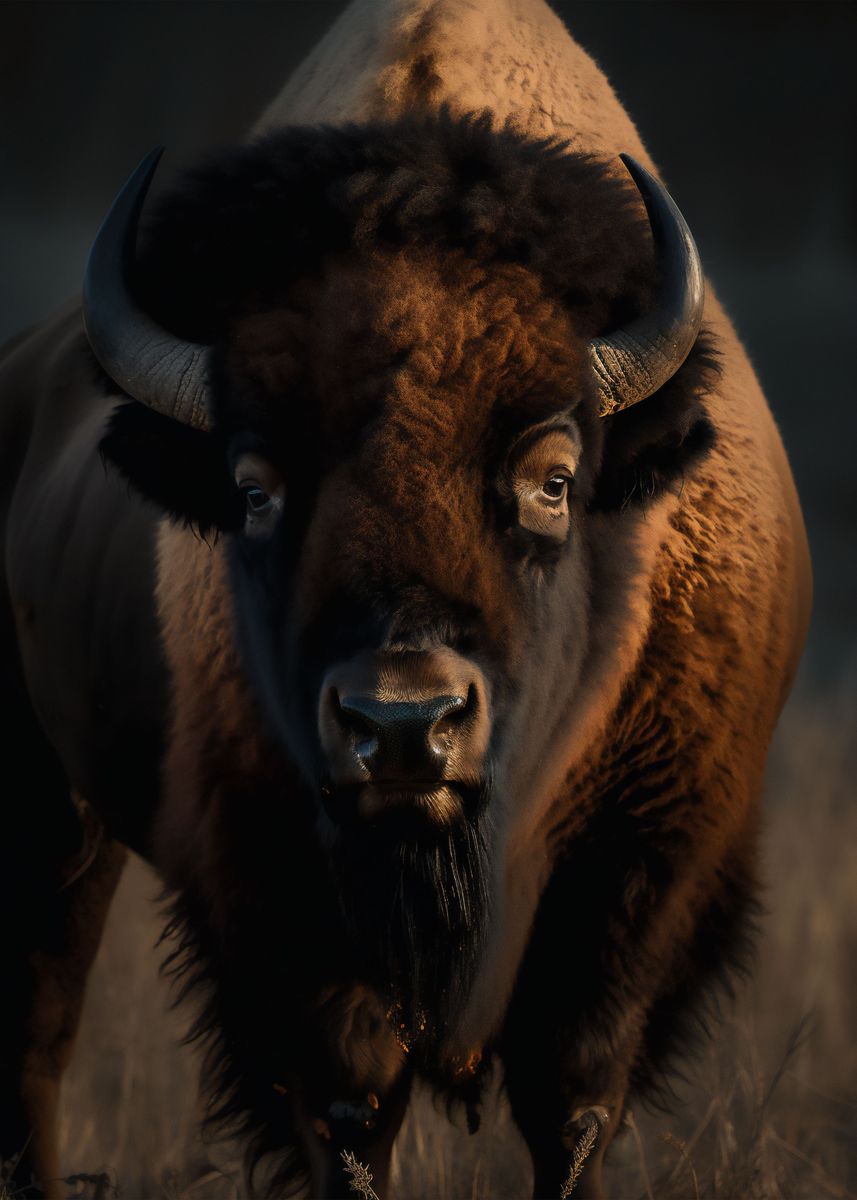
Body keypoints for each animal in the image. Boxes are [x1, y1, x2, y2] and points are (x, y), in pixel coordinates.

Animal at [0, 0, 810, 1197]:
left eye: (553, 479)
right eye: (252, 489)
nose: (401, 725)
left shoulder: (642, 869)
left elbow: (571, 1105)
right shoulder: (277, 893)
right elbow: (350, 1110)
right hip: (54, 821)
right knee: (38, 1039)